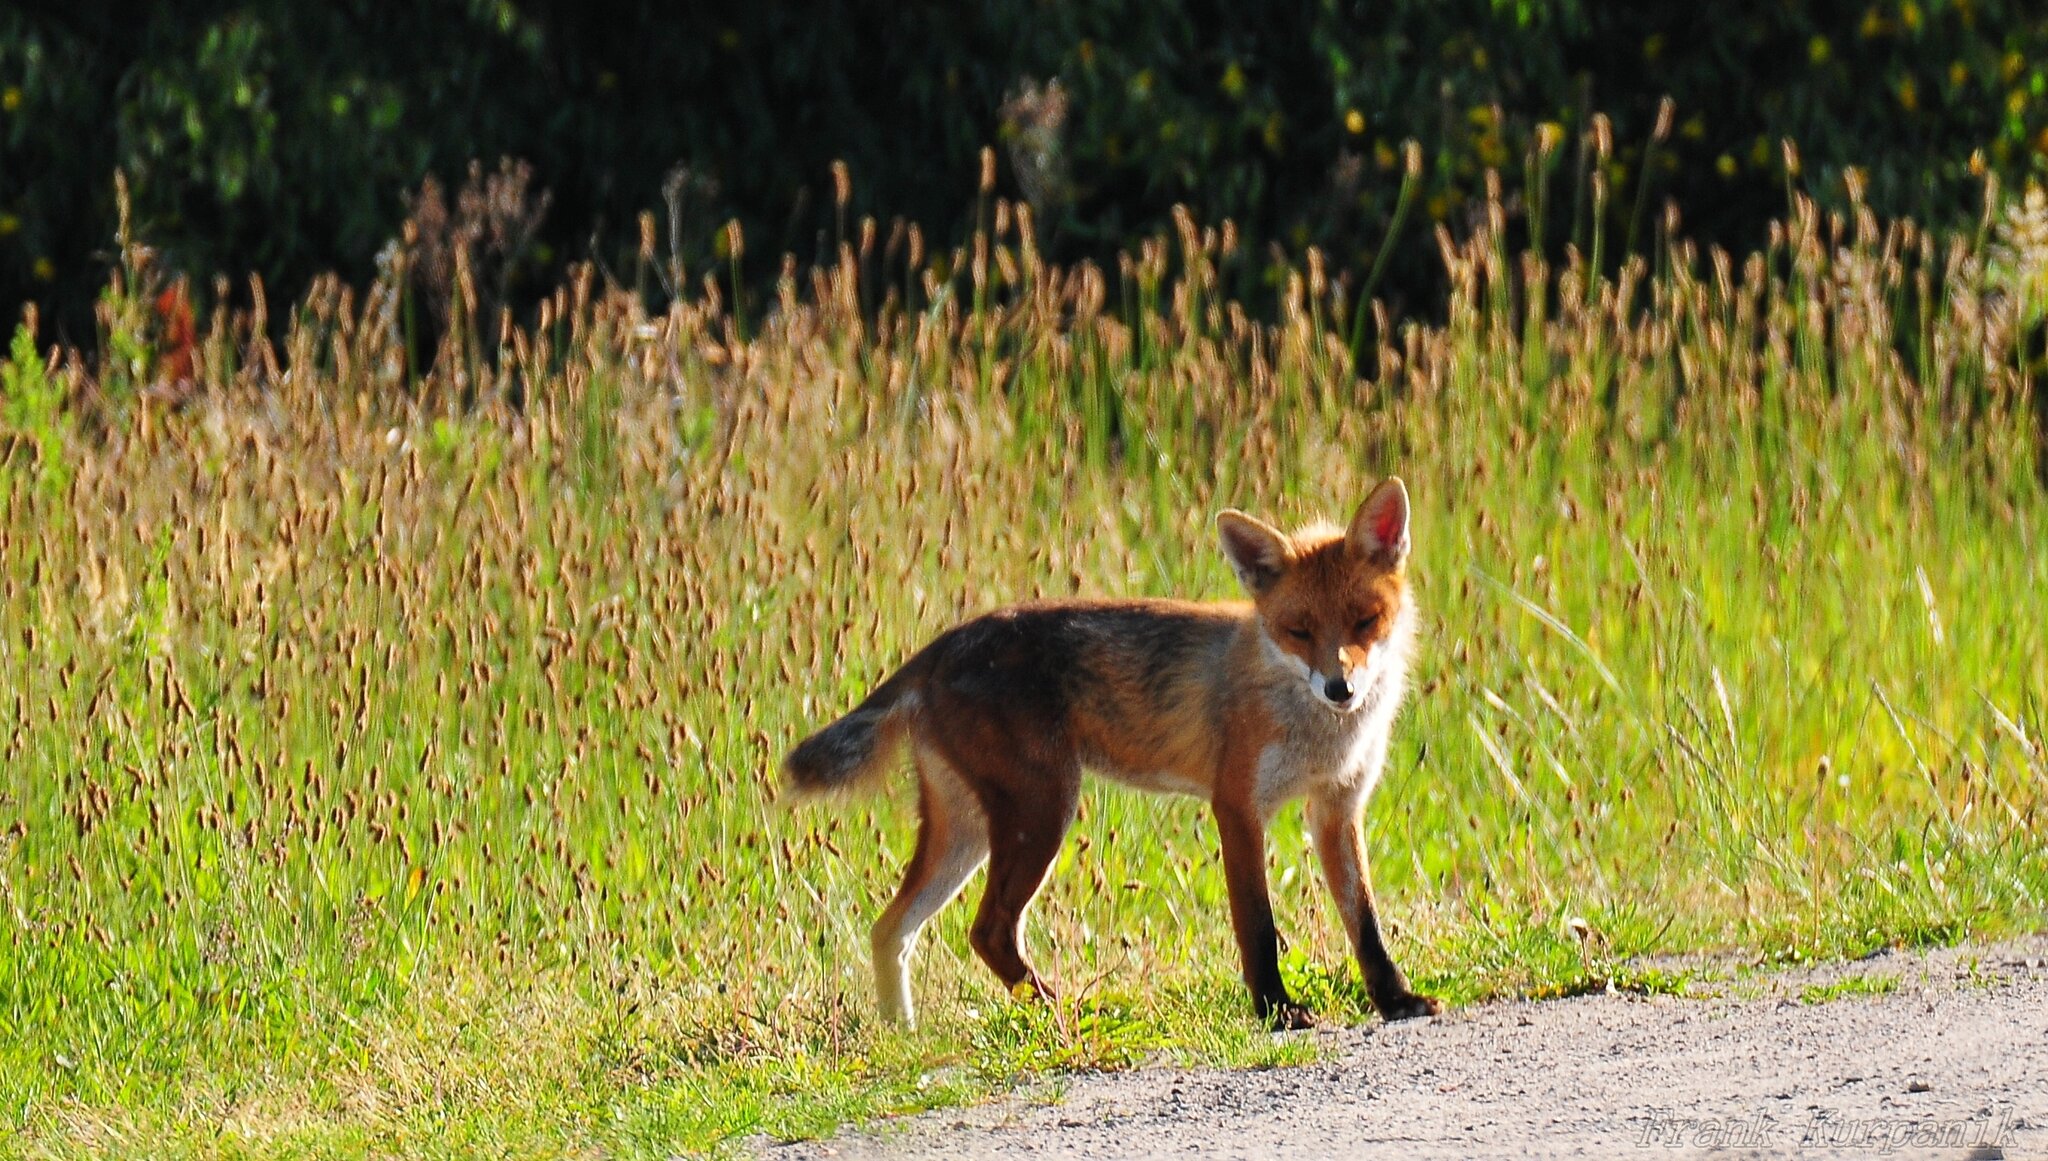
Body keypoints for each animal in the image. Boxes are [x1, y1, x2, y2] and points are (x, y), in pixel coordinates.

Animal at [782, 477, 1439, 1030]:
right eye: (1298, 630)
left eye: (1365, 620)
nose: (1340, 688)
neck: (1316, 731)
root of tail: (939, 647)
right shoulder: (1236, 806)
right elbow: (1257, 925)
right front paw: (1276, 1012)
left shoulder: (1337, 807)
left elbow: (1365, 923)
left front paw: (1395, 999)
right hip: (1040, 813)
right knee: (987, 931)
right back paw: (1063, 1012)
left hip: (967, 830)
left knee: (890, 929)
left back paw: (904, 1035)